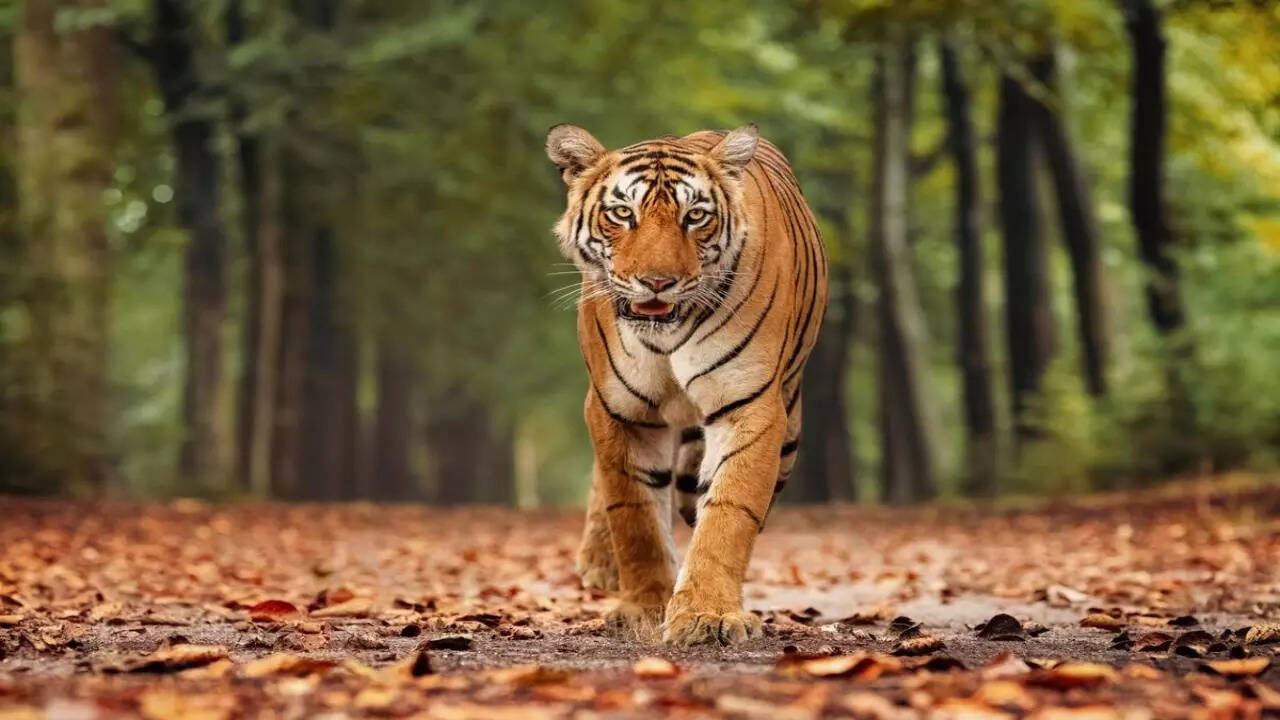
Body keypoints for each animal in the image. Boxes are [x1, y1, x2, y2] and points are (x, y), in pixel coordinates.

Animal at [546, 123, 827, 645]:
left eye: (695, 216)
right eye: (622, 213)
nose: (657, 282)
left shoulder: (749, 406)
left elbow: (728, 513)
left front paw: (708, 614)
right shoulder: (617, 410)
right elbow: (633, 514)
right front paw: (646, 607)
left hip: (788, 431)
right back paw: (600, 565)